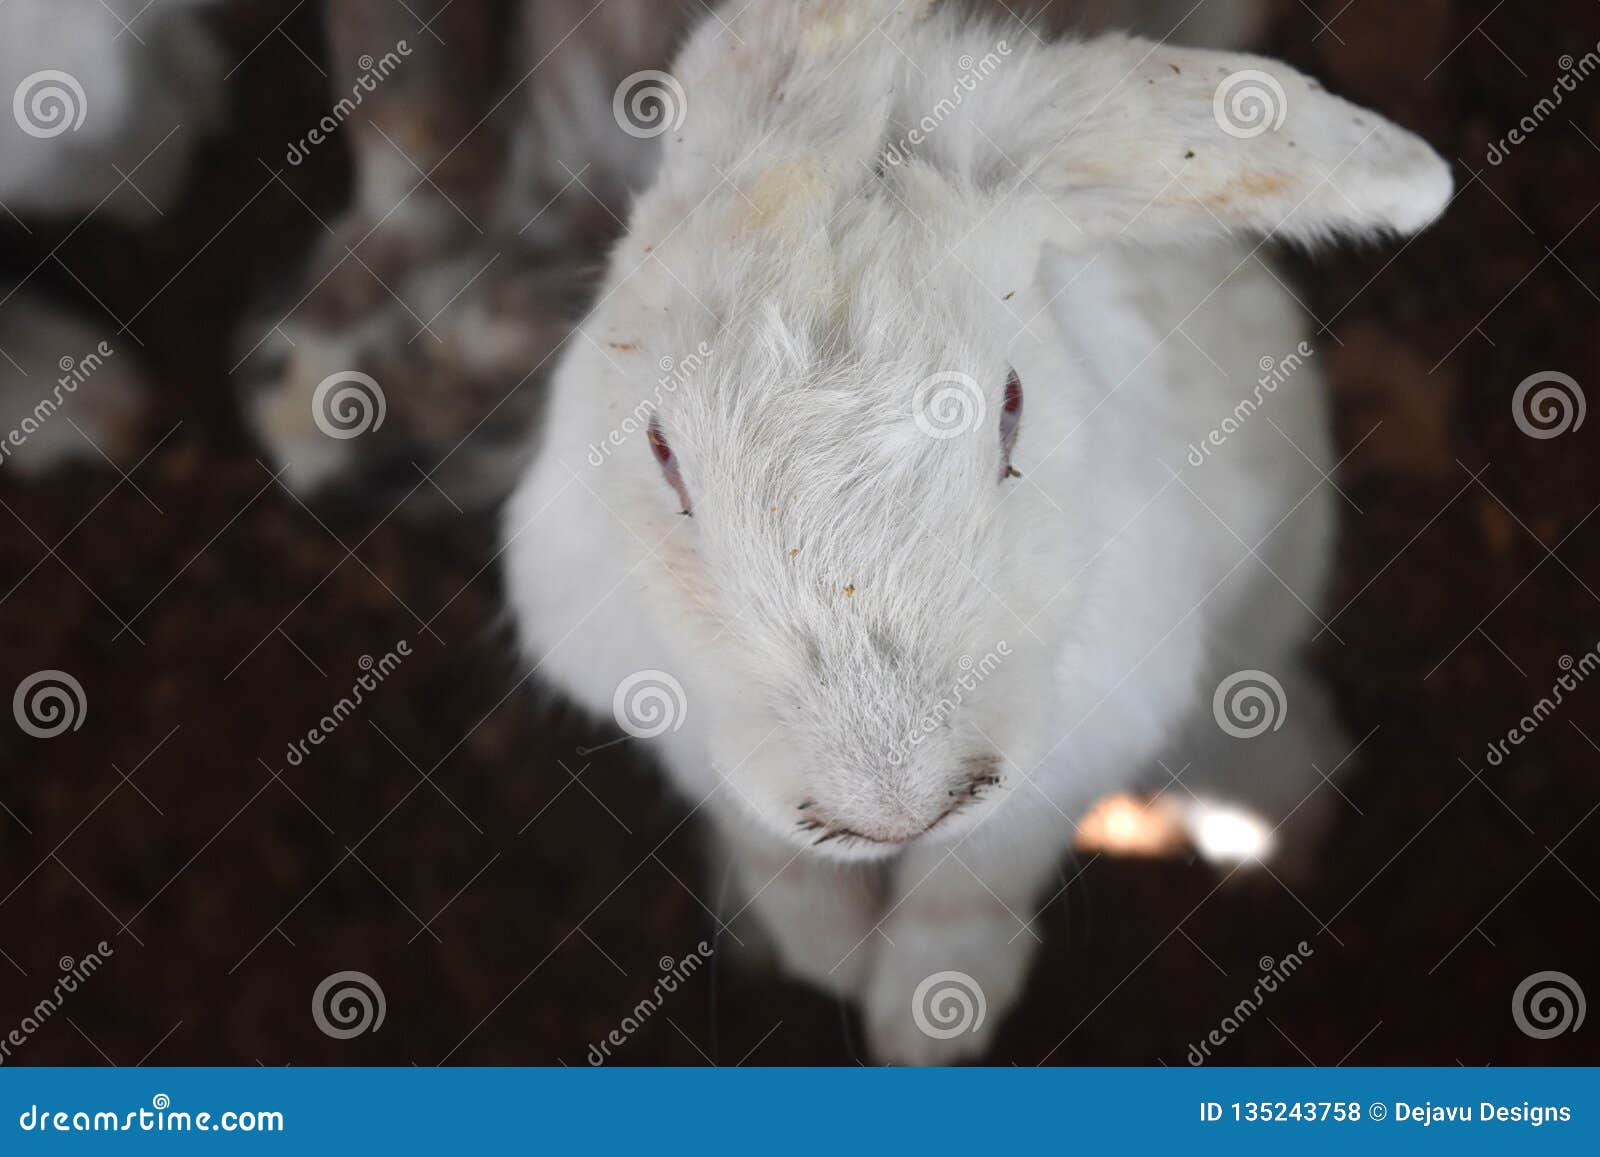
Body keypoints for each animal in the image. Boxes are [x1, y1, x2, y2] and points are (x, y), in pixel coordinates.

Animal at [500, 0, 1451, 1064]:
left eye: (1012, 405)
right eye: (661, 448)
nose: (896, 809)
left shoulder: (1079, 740)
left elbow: (975, 880)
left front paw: (929, 1022)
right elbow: (770, 847)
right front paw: (827, 955)